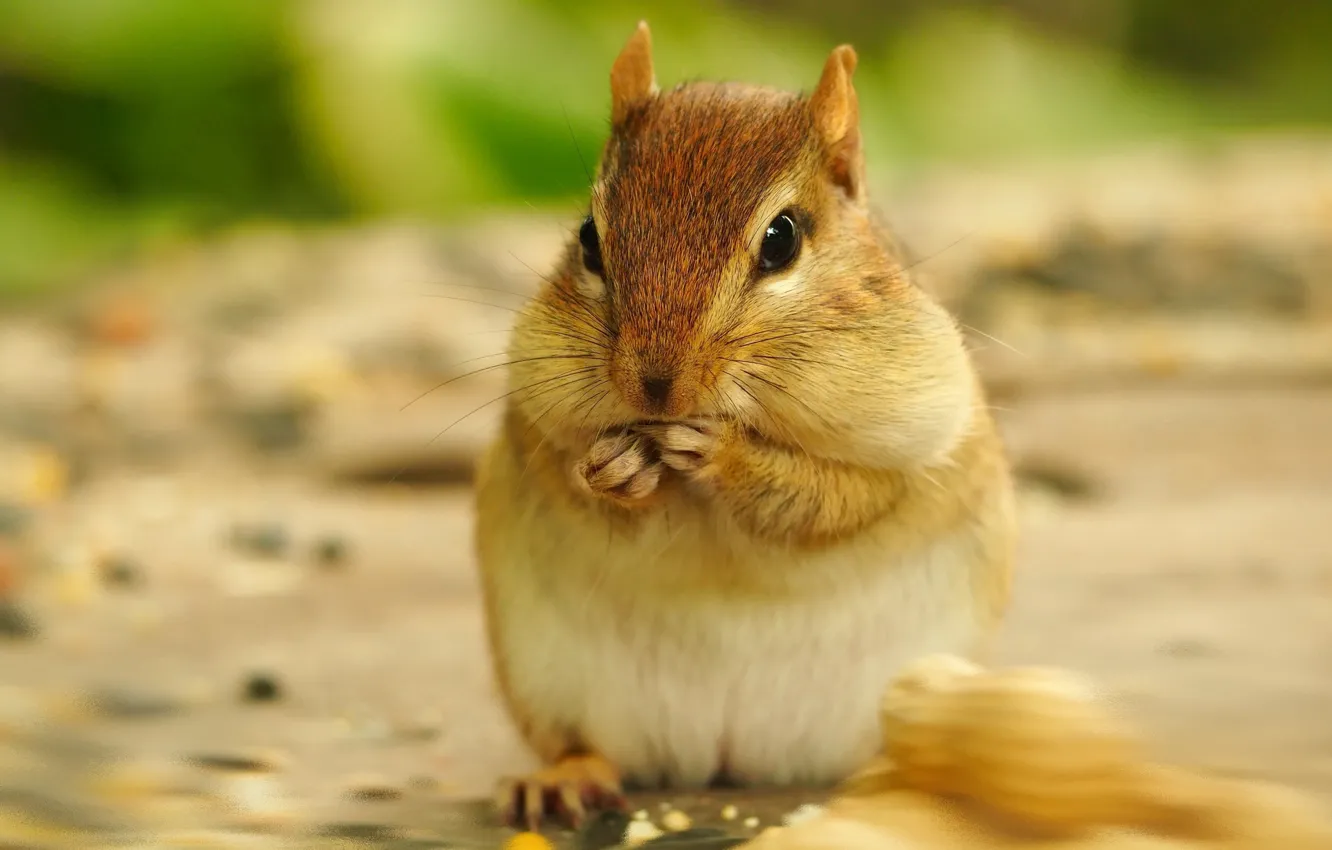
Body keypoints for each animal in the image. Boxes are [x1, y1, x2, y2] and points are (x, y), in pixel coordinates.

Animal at [473, 20, 1016, 830]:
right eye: (589, 239)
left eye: (783, 239)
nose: (656, 387)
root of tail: (732, 755)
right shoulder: (537, 420)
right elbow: (570, 476)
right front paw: (615, 471)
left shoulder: (915, 436)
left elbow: (837, 497)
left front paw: (726, 454)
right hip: (548, 675)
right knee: (586, 743)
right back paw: (563, 779)